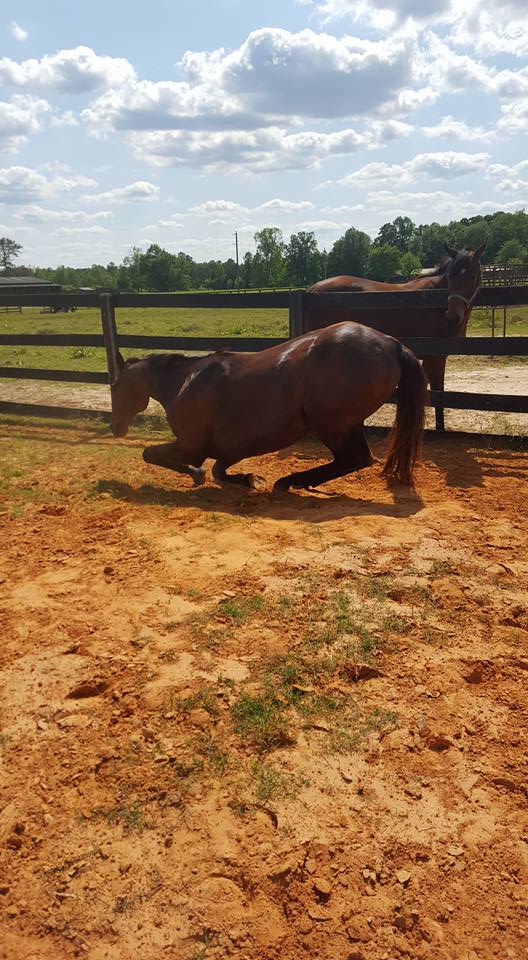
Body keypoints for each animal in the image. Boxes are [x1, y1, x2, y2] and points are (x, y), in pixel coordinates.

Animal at [109, 321, 427, 492]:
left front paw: (197, 475)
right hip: (347, 425)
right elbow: (219, 470)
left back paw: (291, 481)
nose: (114, 428)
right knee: (356, 459)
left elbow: (151, 454)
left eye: (114, 386)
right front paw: (248, 479)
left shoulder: (191, 447)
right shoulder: (234, 448)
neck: (184, 383)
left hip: (332, 425)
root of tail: (391, 343)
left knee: (353, 459)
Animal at [304, 243, 485, 430]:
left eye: (472, 275)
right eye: (451, 275)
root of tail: (312, 289)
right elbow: (438, 394)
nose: (452, 316)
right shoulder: (437, 357)